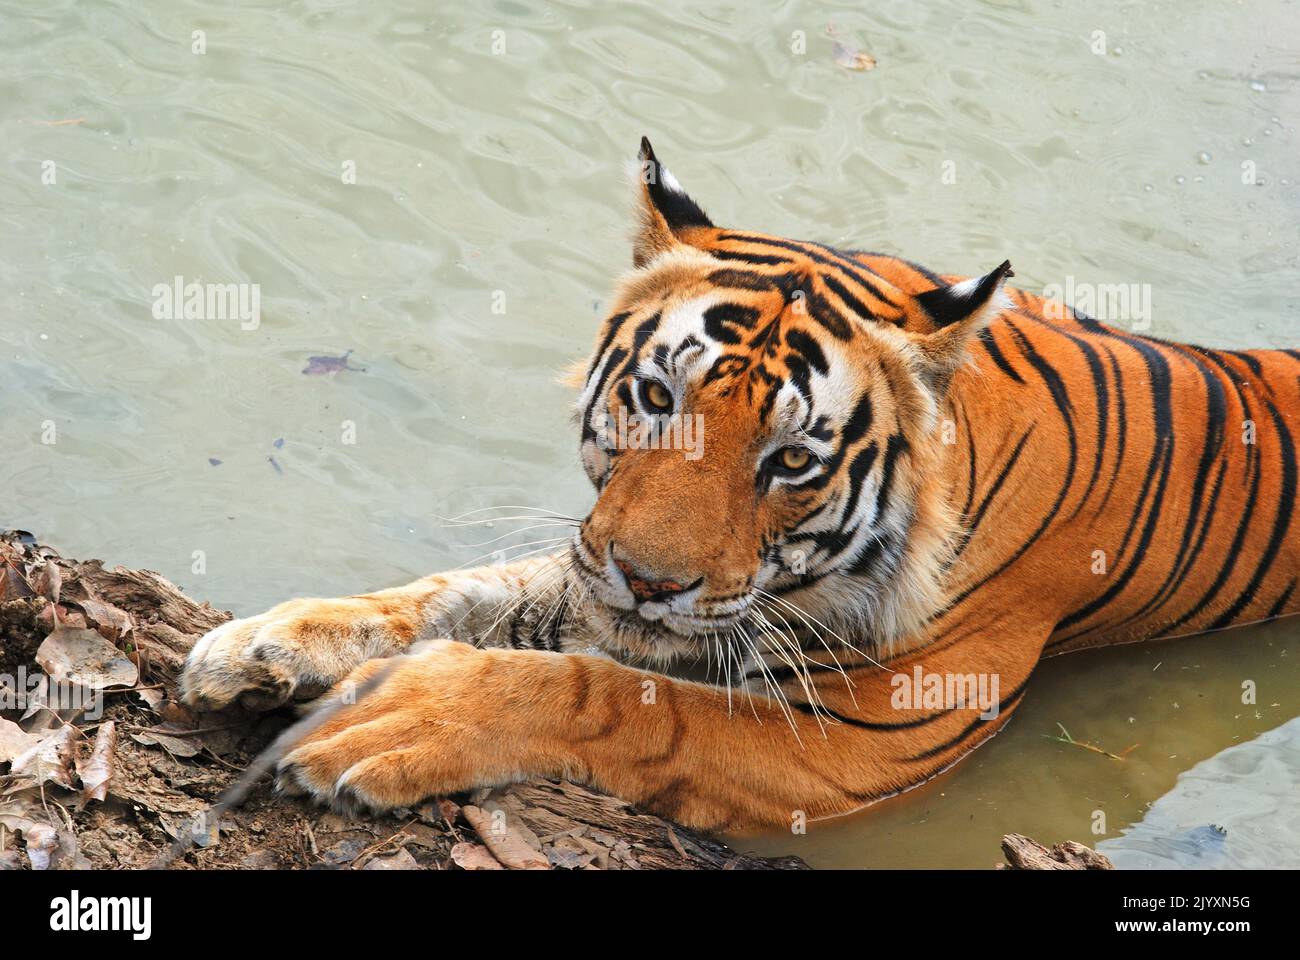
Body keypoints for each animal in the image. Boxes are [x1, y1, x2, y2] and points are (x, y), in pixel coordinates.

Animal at [180, 138, 1300, 832]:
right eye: (653, 395)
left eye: (791, 461)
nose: (648, 584)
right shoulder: (591, 560)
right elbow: (459, 591)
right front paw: (271, 642)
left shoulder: (866, 733)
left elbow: (619, 697)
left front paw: (397, 717)